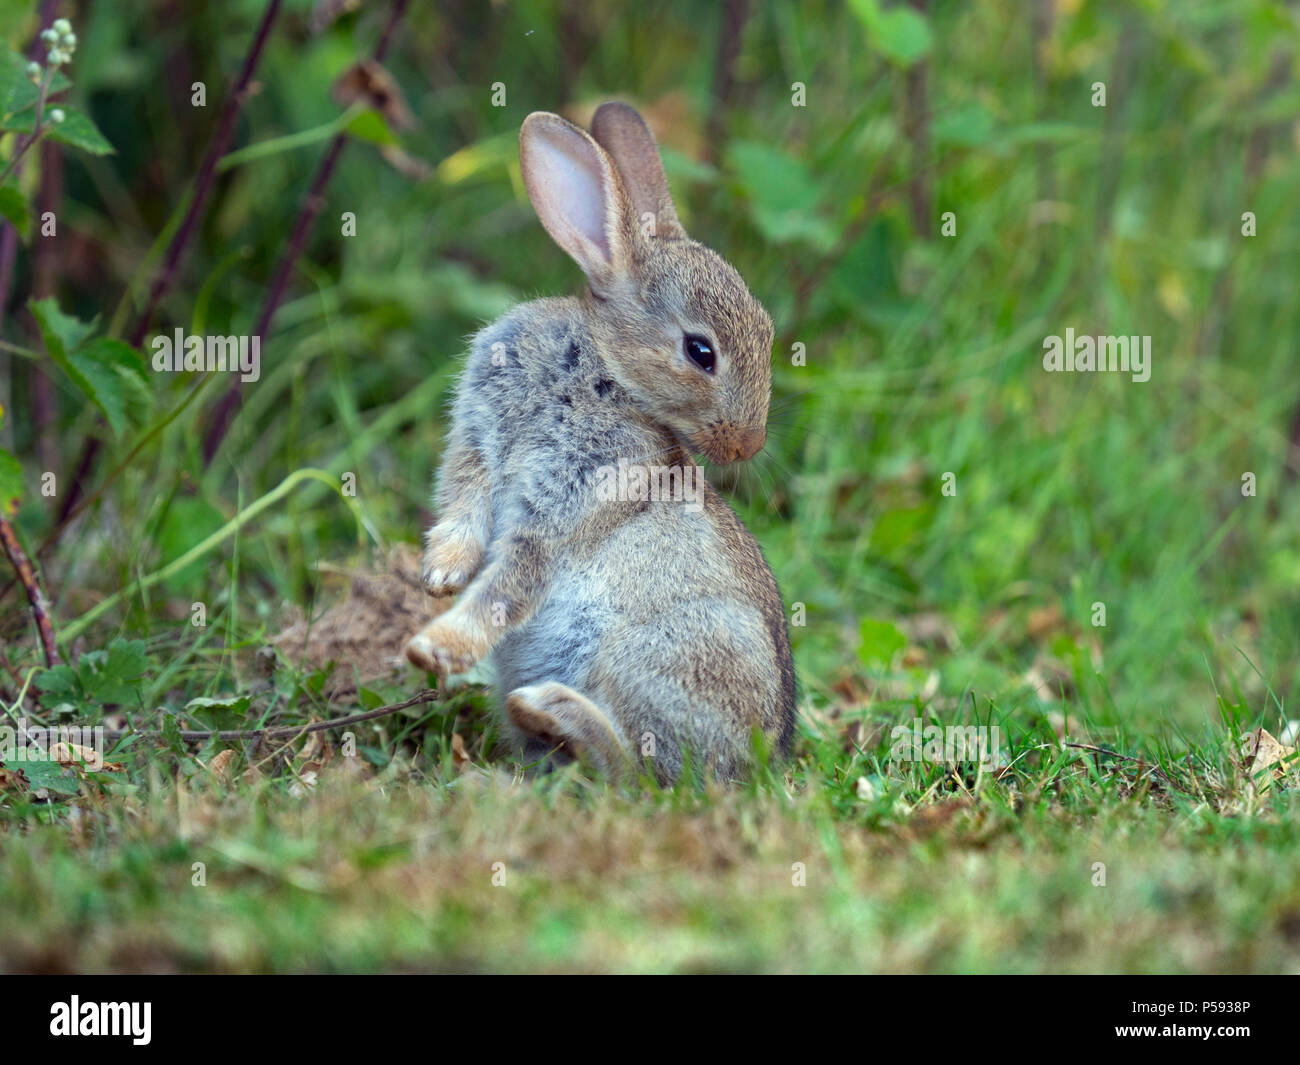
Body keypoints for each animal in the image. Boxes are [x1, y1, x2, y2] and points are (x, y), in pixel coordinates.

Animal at [404, 101, 795, 783]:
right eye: (701, 351)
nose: (747, 445)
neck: (598, 367)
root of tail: (756, 764)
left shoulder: (565, 507)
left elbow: (510, 587)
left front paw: (432, 648)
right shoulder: (476, 441)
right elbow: (463, 508)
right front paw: (441, 575)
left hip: (649, 655)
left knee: (637, 773)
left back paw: (550, 709)